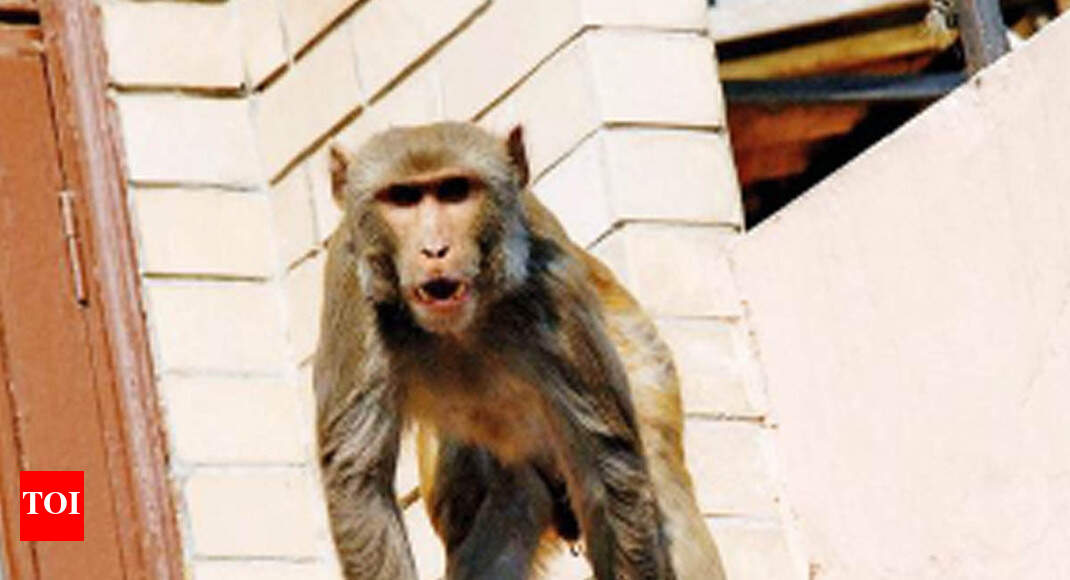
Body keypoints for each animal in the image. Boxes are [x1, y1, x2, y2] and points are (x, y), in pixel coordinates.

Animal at [314, 121, 725, 580]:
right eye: (402, 198)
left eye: (455, 191)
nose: (434, 249)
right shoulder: (349, 278)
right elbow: (358, 478)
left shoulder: (552, 283)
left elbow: (609, 468)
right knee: (503, 504)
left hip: (640, 355)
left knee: (660, 482)